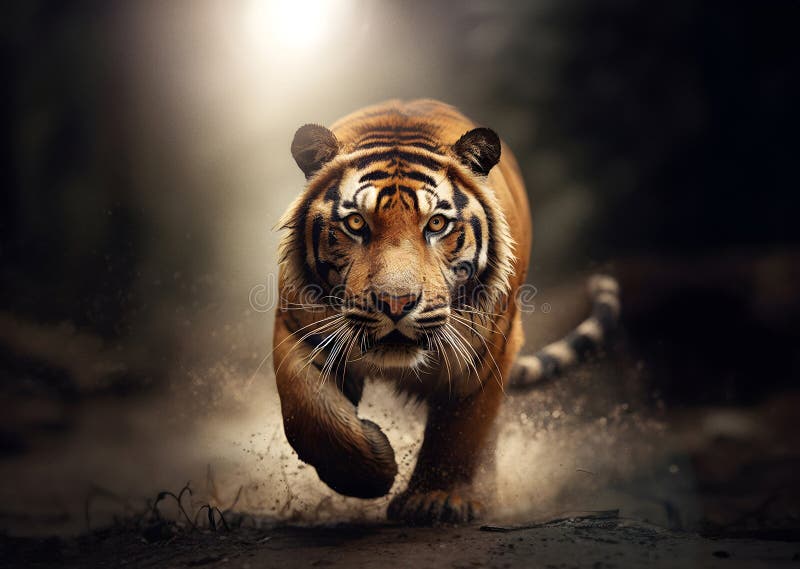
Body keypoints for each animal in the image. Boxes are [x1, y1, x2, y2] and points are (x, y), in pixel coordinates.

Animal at [273, 99, 620, 525]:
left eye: (436, 223)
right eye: (356, 222)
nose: (395, 302)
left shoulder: (488, 348)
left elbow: (460, 428)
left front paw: (434, 499)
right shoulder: (299, 329)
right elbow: (308, 413)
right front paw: (370, 470)